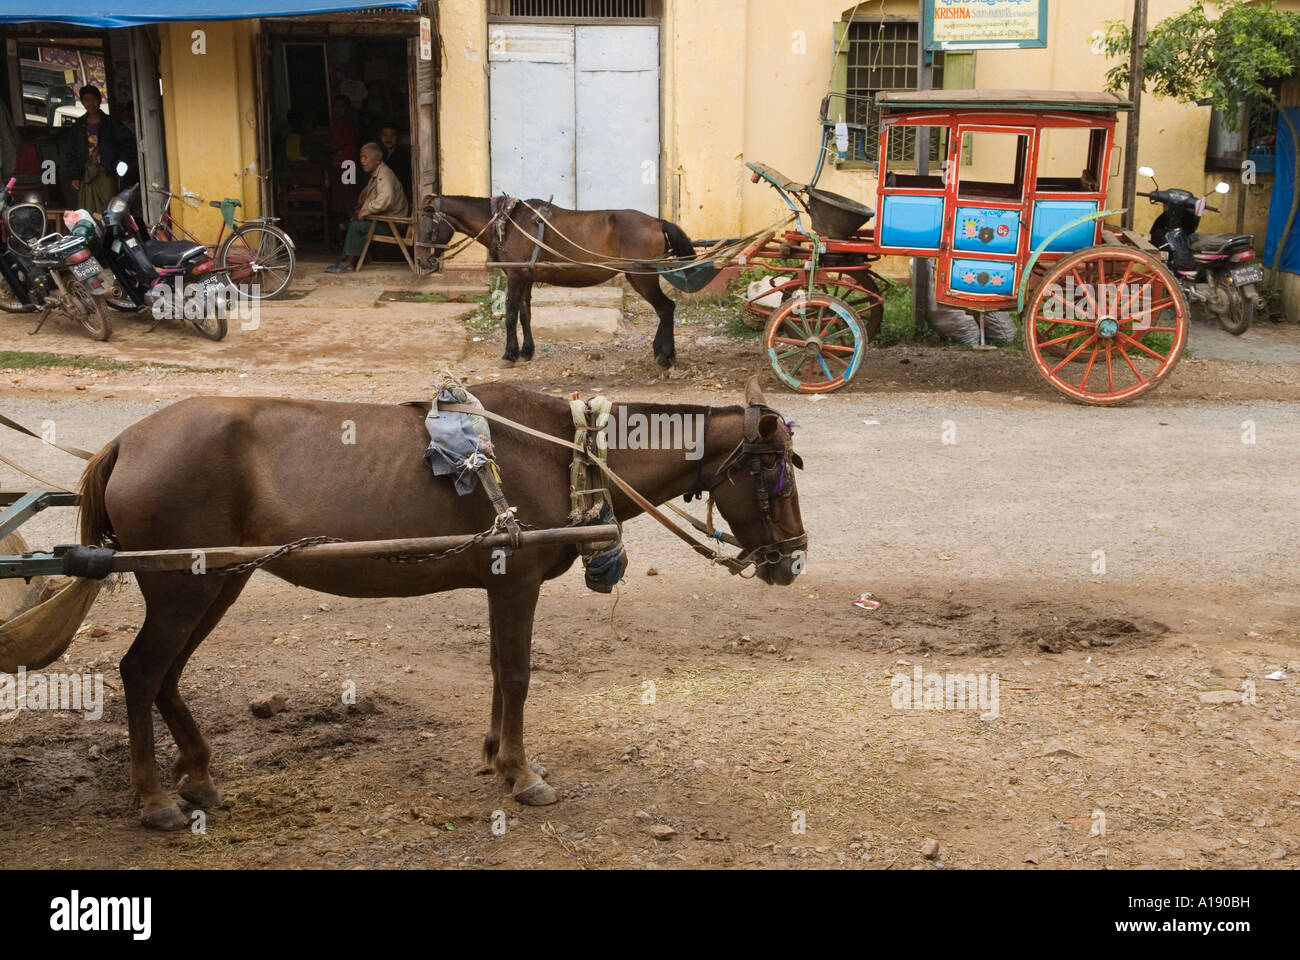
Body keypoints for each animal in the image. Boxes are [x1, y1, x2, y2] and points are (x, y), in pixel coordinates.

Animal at [76, 378, 806, 829]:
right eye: (775, 471)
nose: (793, 560)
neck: (567, 454)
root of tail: (126, 441)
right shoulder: (516, 581)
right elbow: (517, 674)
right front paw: (521, 773)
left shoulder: (499, 582)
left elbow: (498, 671)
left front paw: (496, 755)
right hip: (185, 587)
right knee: (141, 672)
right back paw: (154, 798)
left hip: (218, 581)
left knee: (167, 676)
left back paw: (196, 773)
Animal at [423, 195, 696, 369]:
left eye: (426, 224)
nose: (424, 261)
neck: (508, 223)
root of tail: (658, 221)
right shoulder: (526, 276)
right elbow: (525, 314)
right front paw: (526, 351)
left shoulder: (516, 276)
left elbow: (510, 315)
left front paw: (509, 354)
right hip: (636, 276)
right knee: (664, 309)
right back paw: (661, 351)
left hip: (643, 276)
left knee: (666, 308)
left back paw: (665, 356)